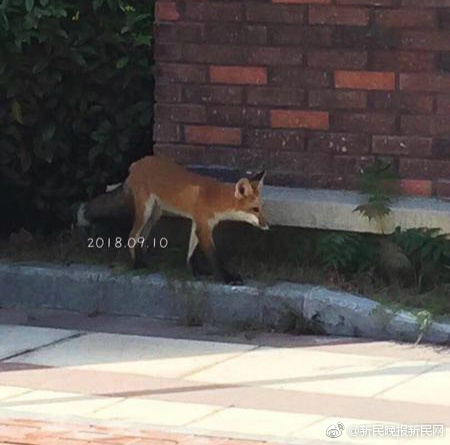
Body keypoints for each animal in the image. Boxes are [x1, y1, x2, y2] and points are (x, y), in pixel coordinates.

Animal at [78, 154, 268, 282]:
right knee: (132, 236)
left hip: (155, 215)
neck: (216, 199)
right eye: (255, 209)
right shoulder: (204, 227)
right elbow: (215, 257)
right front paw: (227, 278)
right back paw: (137, 265)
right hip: (145, 211)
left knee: (141, 239)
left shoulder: (197, 223)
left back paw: (143, 261)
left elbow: (191, 251)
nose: (267, 225)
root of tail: (136, 163)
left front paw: (195, 271)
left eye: (262, 208)